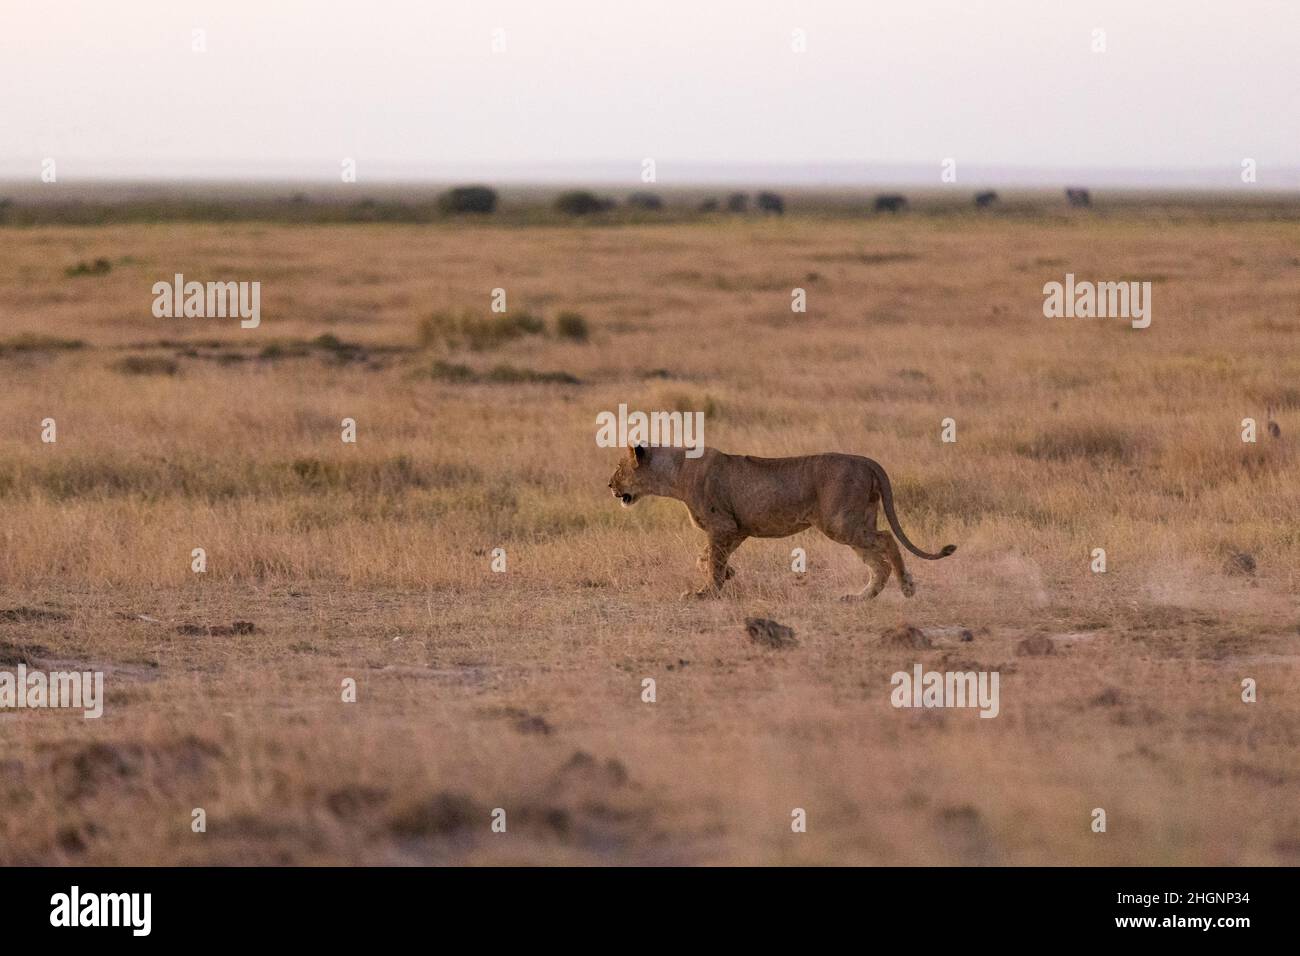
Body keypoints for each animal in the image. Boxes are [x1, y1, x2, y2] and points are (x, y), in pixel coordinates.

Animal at [607, 445, 955, 599]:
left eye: (619, 468)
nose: (609, 485)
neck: (676, 473)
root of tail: (865, 460)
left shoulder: (723, 526)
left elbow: (712, 562)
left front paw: (706, 592)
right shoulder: (738, 528)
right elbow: (707, 557)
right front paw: (728, 574)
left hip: (840, 522)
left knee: (886, 540)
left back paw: (907, 586)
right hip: (855, 521)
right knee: (877, 562)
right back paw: (860, 597)